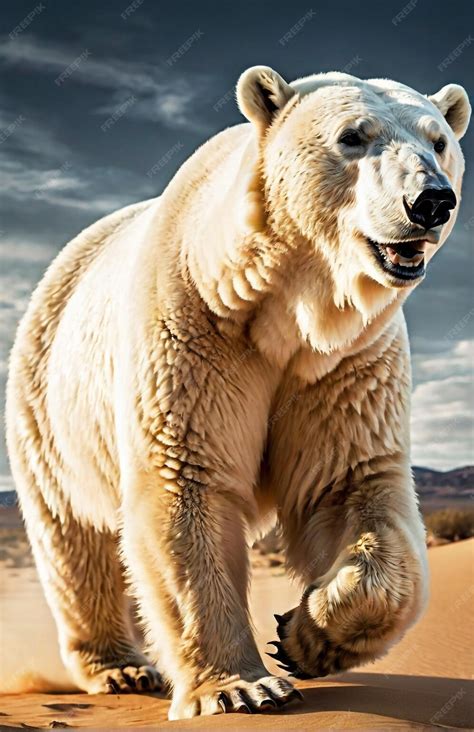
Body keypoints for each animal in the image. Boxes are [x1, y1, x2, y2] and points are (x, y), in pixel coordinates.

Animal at [6, 66, 470, 719]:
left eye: (439, 141)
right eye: (352, 136)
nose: (430, 200)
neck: (285, 310)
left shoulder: (346, 363)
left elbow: (350, 485)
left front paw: (305, 636)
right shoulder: (193, 325)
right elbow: (186, 480)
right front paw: (240, 688)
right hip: (48, 406)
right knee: (75, 538)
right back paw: (122, 667)